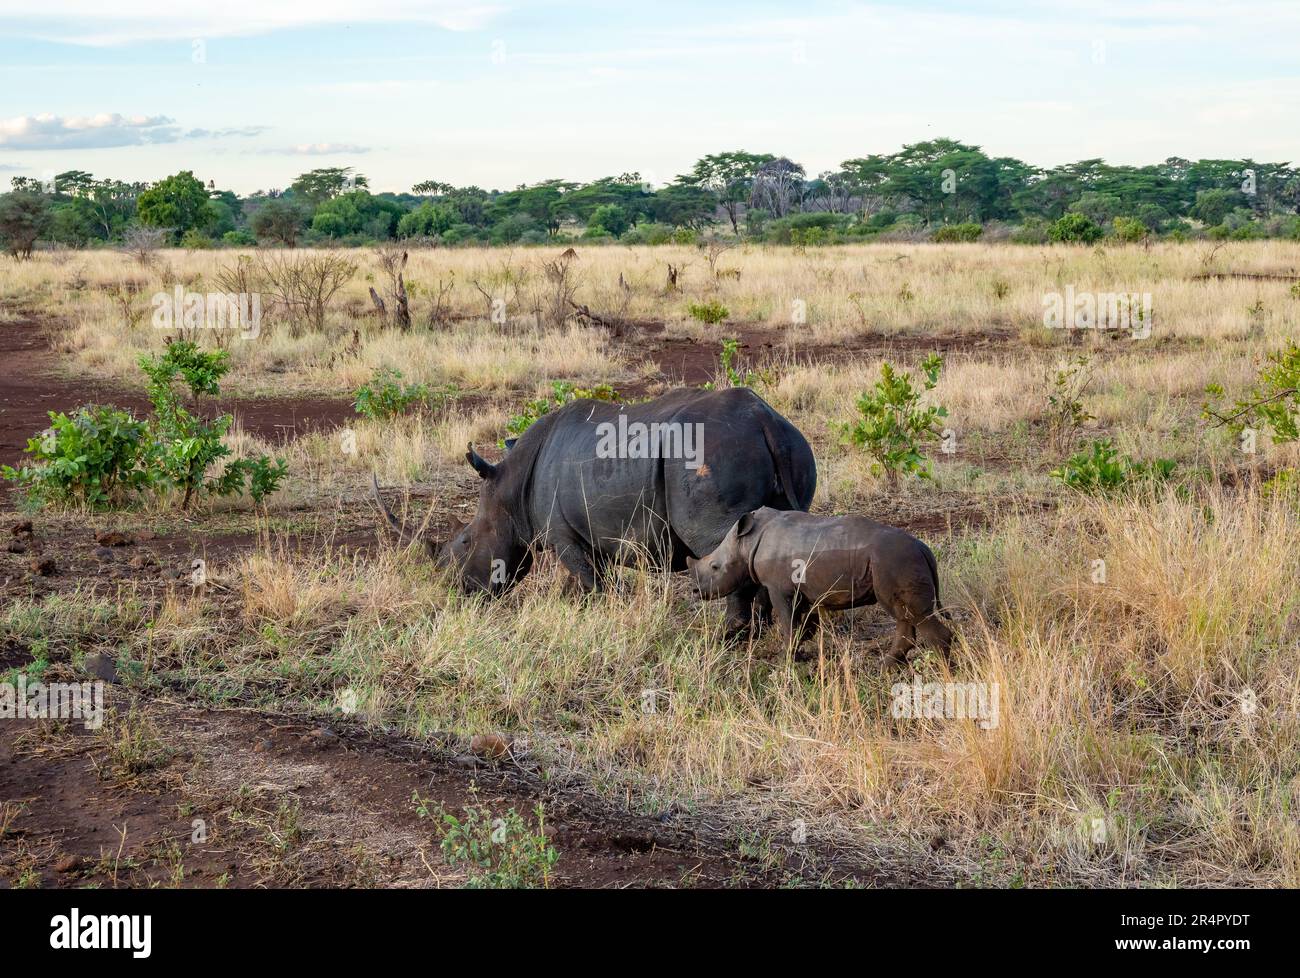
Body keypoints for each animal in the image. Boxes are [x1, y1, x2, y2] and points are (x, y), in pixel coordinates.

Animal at [372, 387, 816, 631]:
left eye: (465, 542)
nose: (457, 591)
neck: (508, 490)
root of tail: (765, 421)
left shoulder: (562, 535)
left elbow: (589, 582)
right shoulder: (586, 533)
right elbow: (586, 582)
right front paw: (575, 612)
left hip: (711, 454)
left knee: (722, 546)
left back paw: (728, 637)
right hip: (794, 444)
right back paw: (760, 634)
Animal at [686, 507, 952, 662]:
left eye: (715, 567)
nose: (696, 591)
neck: (746, 541)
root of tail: (924, 550)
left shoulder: (778, 588)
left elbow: (787, 622)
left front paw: (785, 660)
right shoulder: (803, 590)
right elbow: (803, 624)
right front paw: (800, 649)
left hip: (895, 561)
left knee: (913, 615)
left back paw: (943, 671)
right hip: (895, 562)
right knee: (904, 615)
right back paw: (887, 667)